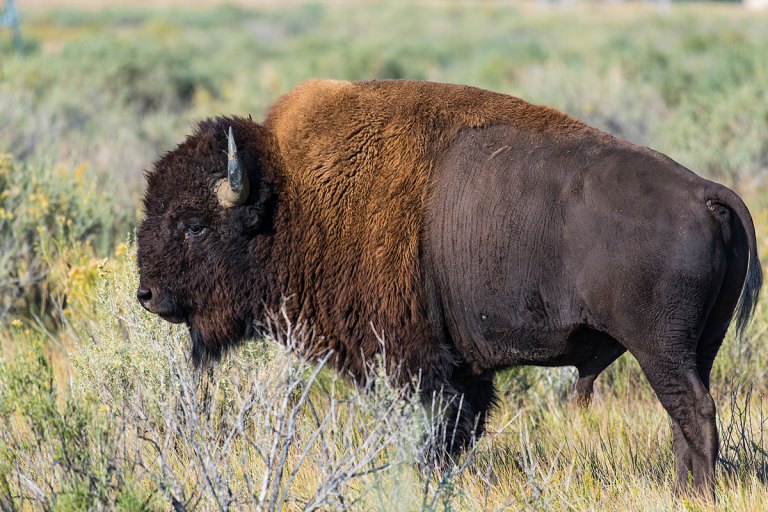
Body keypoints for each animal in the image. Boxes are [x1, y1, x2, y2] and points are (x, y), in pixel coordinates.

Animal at [137, 79, 761, 497]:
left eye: (193, 224)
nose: (146, 294)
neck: (293, 199)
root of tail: (705, 192)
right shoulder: (460, 370)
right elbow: (459, 430)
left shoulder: (415, 366)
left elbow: (433, 434)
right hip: (698, 347)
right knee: (690, 413)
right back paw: (683, 491)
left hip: (659, 347)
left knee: (692, 411)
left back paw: (695, 494)